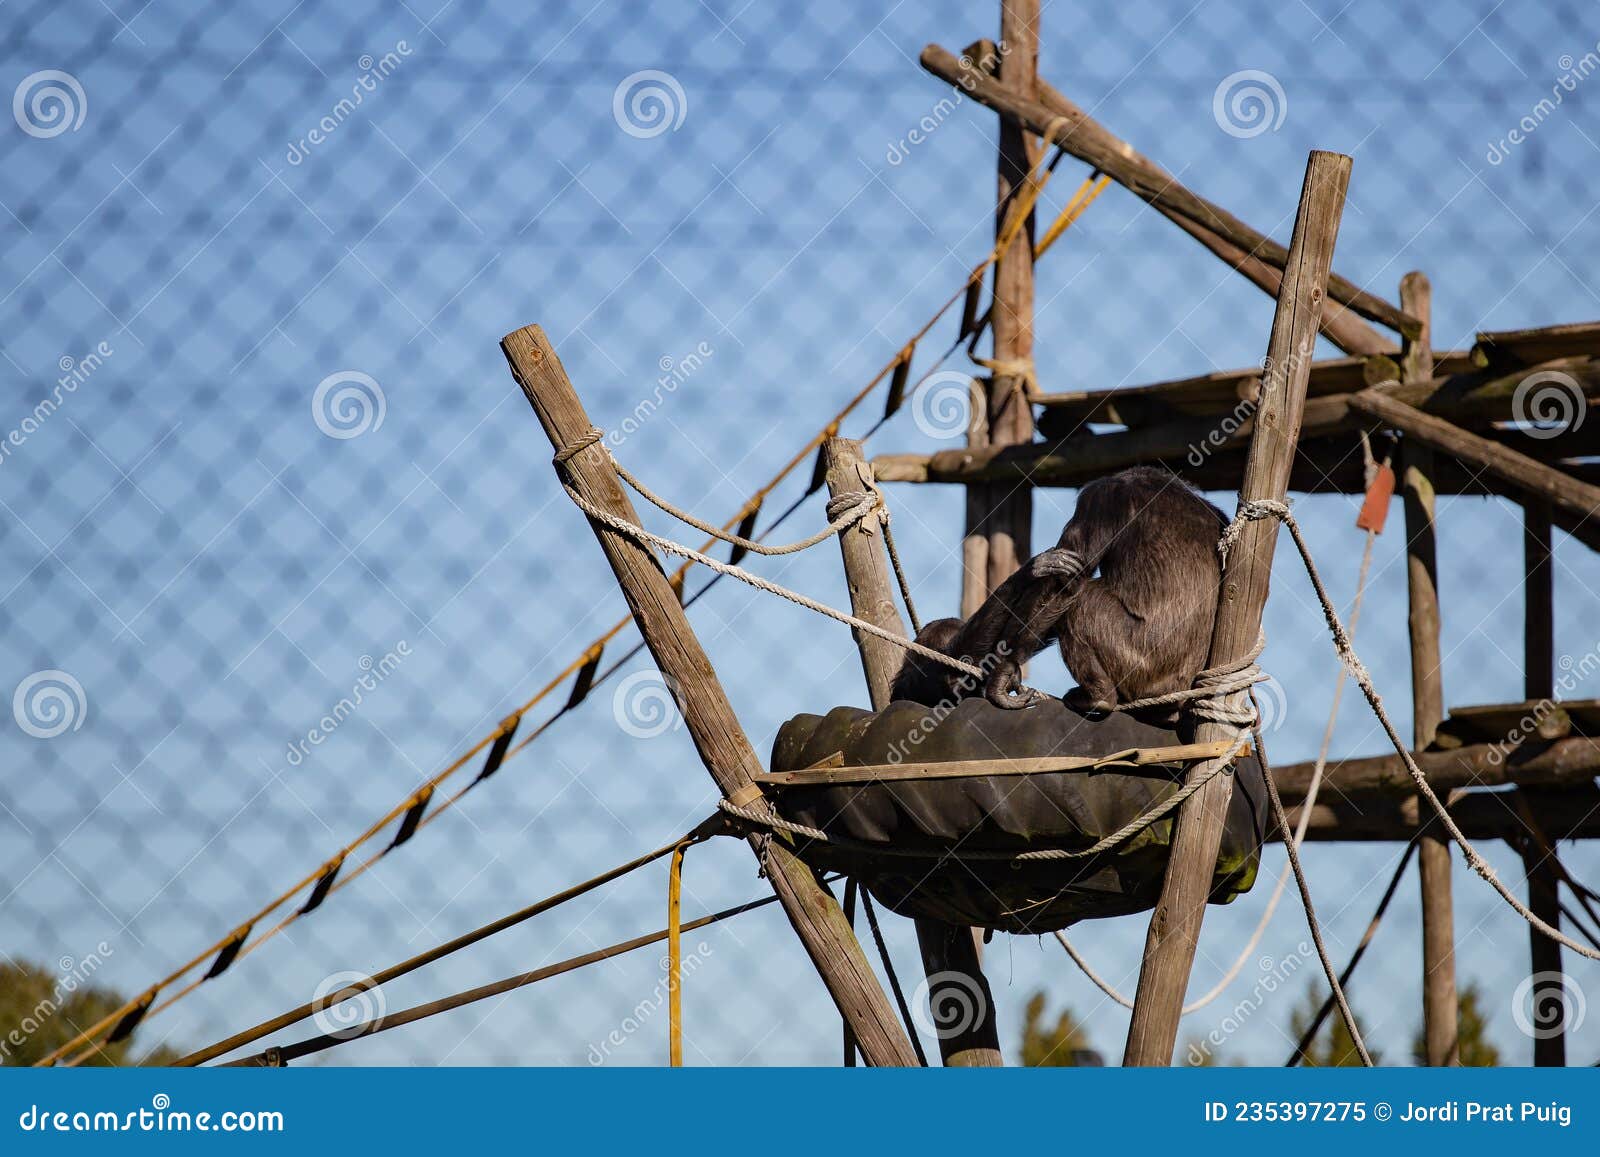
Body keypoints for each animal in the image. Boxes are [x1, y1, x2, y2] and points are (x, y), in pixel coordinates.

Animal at [888, 466, 1225, 718]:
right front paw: (1035, 567)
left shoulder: (1099, 499)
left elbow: (1063, 587)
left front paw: (1001, 676)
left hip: (1142, 667)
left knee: (1083, 602)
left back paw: (1097, 697)